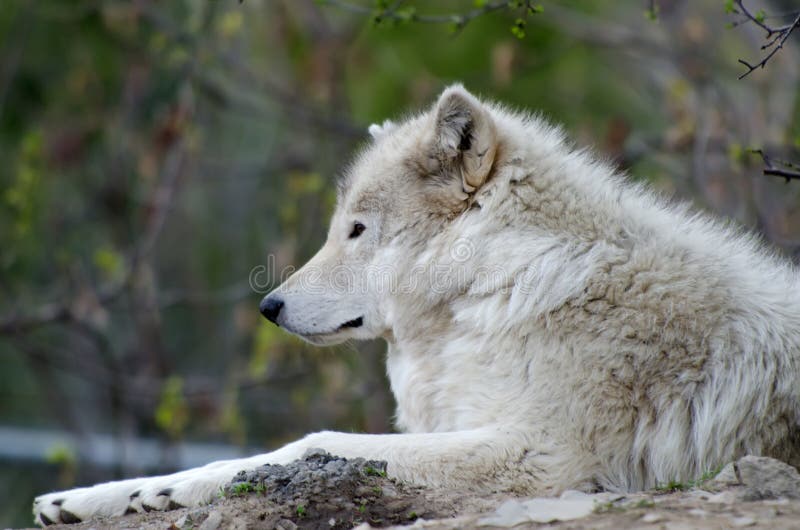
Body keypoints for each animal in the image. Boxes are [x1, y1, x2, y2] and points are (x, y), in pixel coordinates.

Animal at [34, 85, 800, 525]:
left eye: (357, 230)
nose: (269, 307)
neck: (504, 284)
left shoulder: (538, 454)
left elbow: (306, 445)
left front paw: (157, 494)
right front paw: (95, 498)